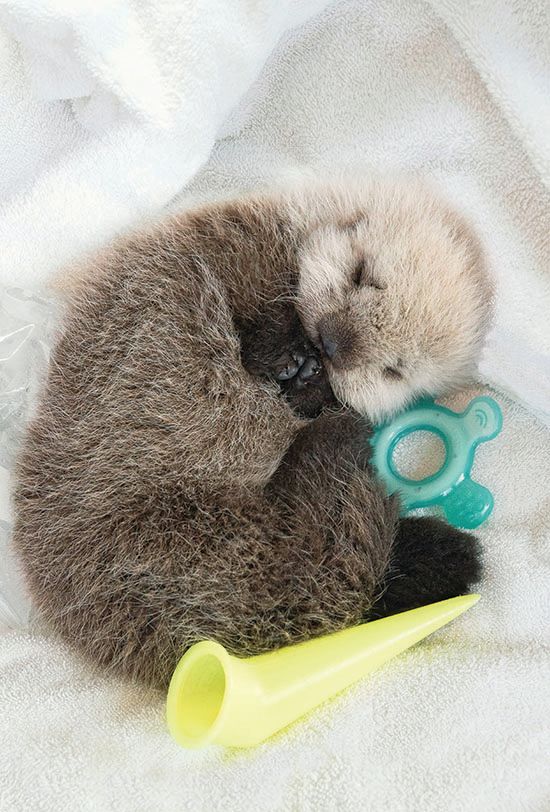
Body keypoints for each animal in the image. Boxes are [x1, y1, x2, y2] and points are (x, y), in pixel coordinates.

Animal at [13, 176, 492, 688]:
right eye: (362, 274)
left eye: (394, 370)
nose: (333, 343)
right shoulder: (234, 243)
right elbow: (249, 295)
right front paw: (287, 356)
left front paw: (307, 377)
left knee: (317, 556)